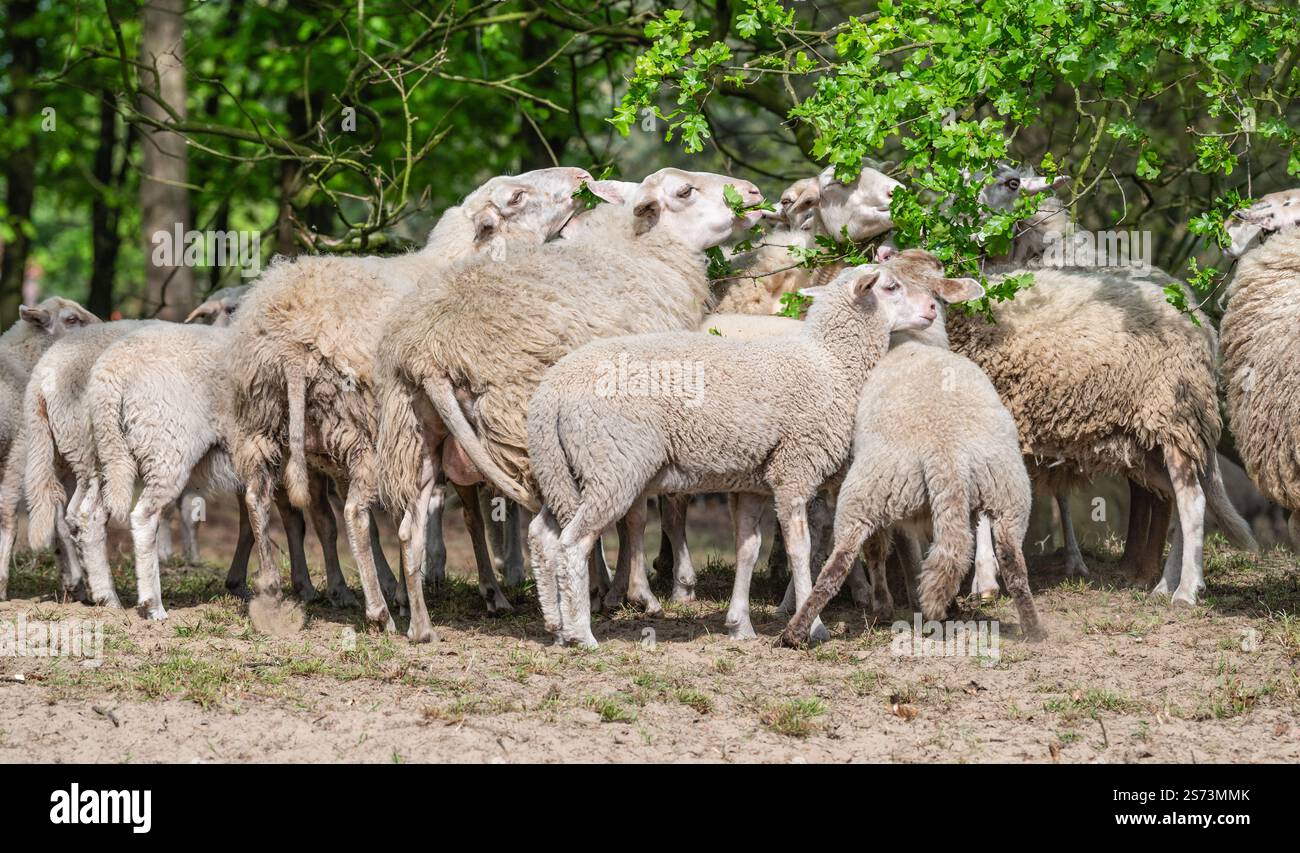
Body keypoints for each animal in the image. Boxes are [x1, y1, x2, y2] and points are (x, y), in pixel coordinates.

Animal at [230, 166, 595, 633]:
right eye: (516, 197)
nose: (582, 176)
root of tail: (290, 344)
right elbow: (470, 519)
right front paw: (488, 593)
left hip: (264, 425)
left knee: (260, 504)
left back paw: (276, 596)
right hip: (362, 434)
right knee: (354, 513)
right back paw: (378, 612)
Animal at [375, 168, 765, 642]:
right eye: (685, 191)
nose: (753, 192)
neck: (639, 254)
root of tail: (429, 352)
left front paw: (610, 590)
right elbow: (634, 516)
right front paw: (632, 593)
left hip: (414, 439)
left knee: (408, 532)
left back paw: (421, 627)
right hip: (524, 432)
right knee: (548, 527)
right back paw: (560, 618)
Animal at [525, 256, 948, 647]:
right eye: (890, 287)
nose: (931, 308)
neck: (831, 364)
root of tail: (552, 392)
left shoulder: (753, 483)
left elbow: (747, 549)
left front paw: (739, 625)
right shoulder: (794, 469)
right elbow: (800, 548)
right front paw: (812, 626)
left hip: (568, 468)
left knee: (542, 536)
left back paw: (556, 627)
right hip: (611, 464)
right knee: (573, 544)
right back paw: (582, 634)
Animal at [776, 250, 1046, 646]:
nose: (885, 251)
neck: (913, 341)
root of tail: (945, 453)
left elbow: (896, 551)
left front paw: (890, 602)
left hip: (869, 492)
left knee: (843, 558)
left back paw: (800, 630)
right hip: (1009, 493)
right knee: (1012, 561)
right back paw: (1032, 628)